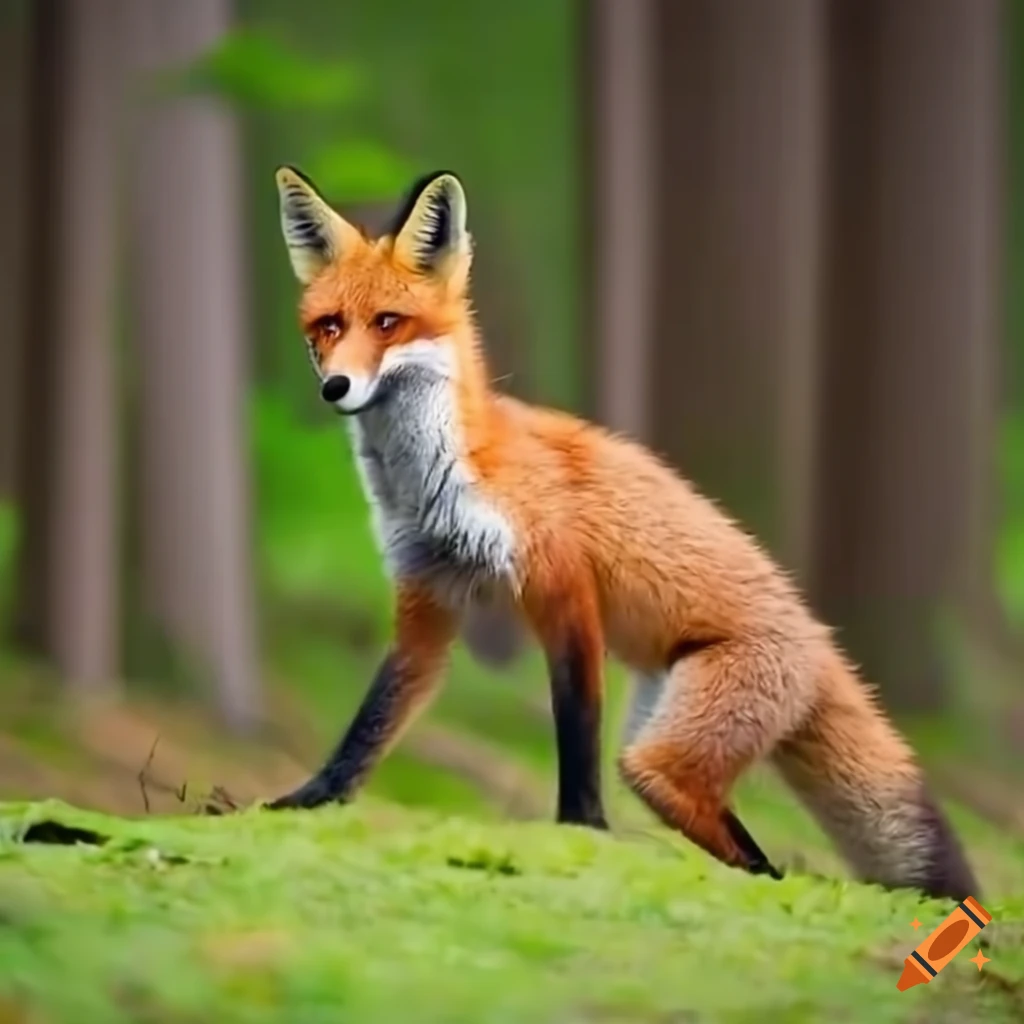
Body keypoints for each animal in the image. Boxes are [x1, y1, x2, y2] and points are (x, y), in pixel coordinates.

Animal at [267, 164, 978, 902]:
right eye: (328, 326)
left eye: (388, 322)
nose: (336, 387)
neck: (443, 481)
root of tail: (821, 639)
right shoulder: (427, 600)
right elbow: (370, 725)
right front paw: (307, 800)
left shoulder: (564, 590)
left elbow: (576, 731)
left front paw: (581, 830)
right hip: (663, 724)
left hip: (664, 759)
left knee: (743, 846)